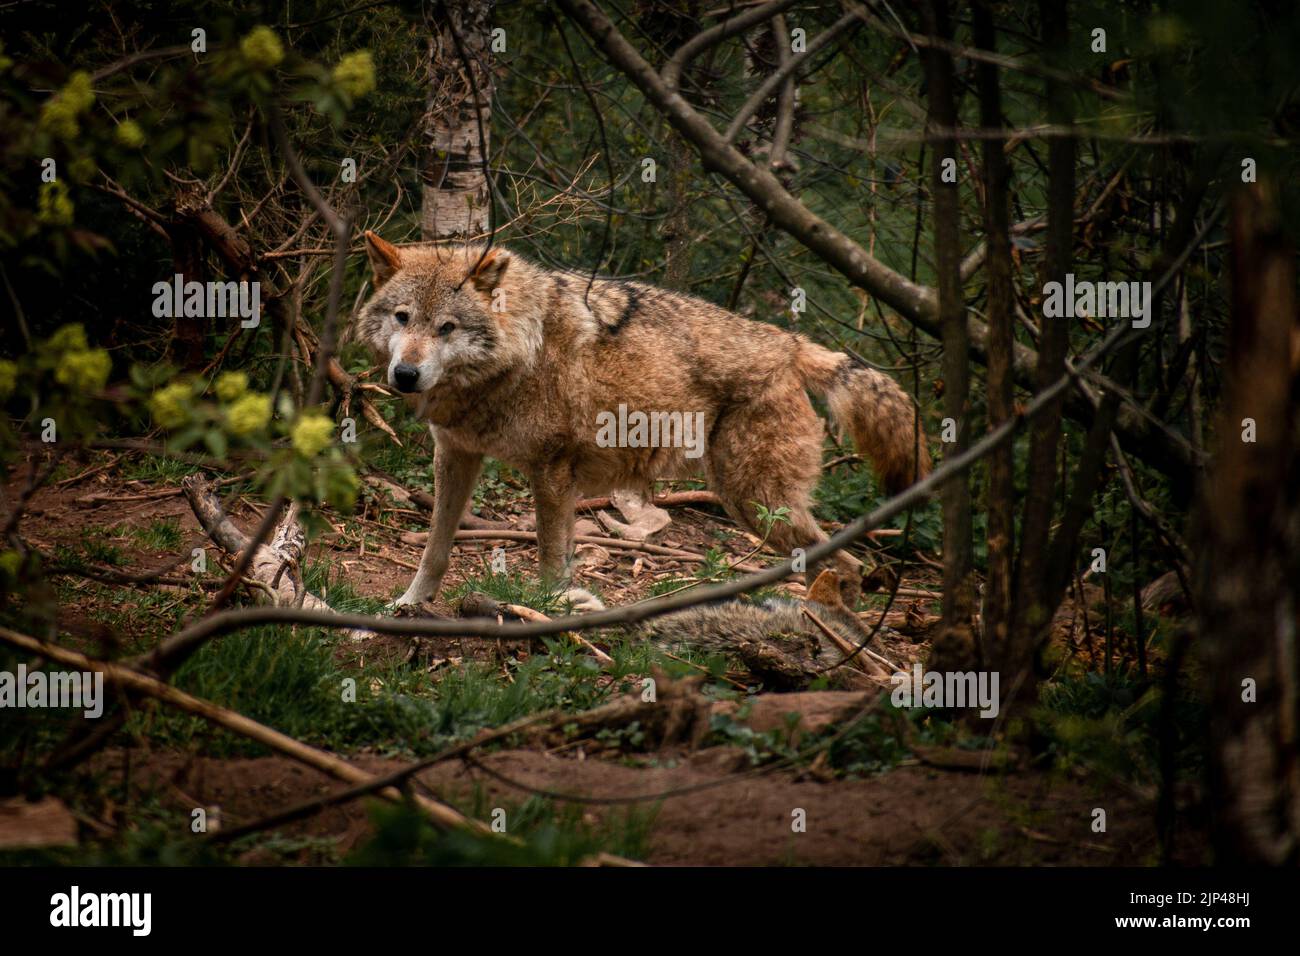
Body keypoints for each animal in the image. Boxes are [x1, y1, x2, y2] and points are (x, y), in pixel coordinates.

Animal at [356, 233, 931, 608]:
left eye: (447, 327)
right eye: (403, 318)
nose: (405, 374)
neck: (519, 352)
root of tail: (791, 344)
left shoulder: (552, 473)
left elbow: (549, 560)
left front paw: (548, 613)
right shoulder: (455, 454)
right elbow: (435, 550)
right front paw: (408, 606)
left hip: (756, 504)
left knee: (849, 564)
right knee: (845, 564)